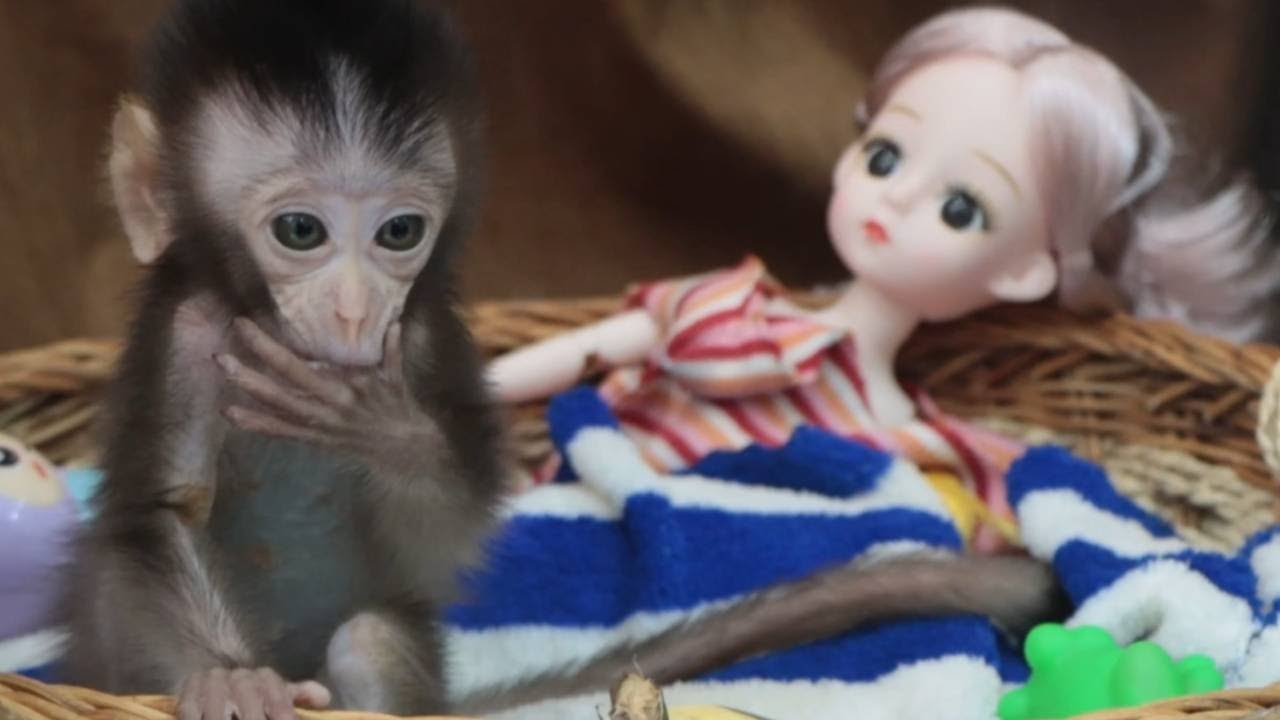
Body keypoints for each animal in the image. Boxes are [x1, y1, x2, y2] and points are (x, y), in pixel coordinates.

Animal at [60, 1, 1066, 718]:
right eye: (300, 232)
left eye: (399, 233)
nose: (353, 309)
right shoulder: (189, 329)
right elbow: (162, 514)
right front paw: (229, 679)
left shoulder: (423, 337)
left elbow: (445, 532)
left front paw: (377, 426)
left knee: (371, 640)